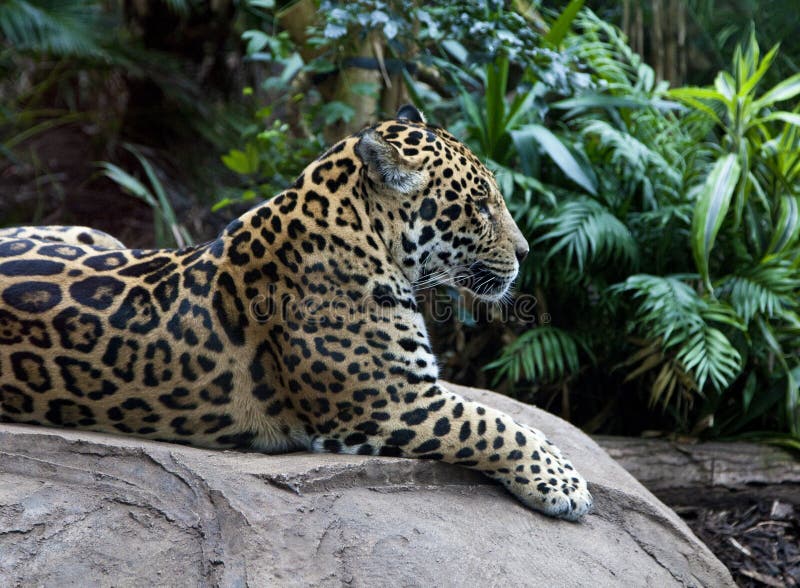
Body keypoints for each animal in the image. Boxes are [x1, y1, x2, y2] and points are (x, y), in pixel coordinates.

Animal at [0, 105, 592, 520]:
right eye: (481, 204)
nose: (526, 253)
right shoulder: (388, 401)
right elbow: (494, 425)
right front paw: (565, 485)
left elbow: (506, 419)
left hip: (95, 234)